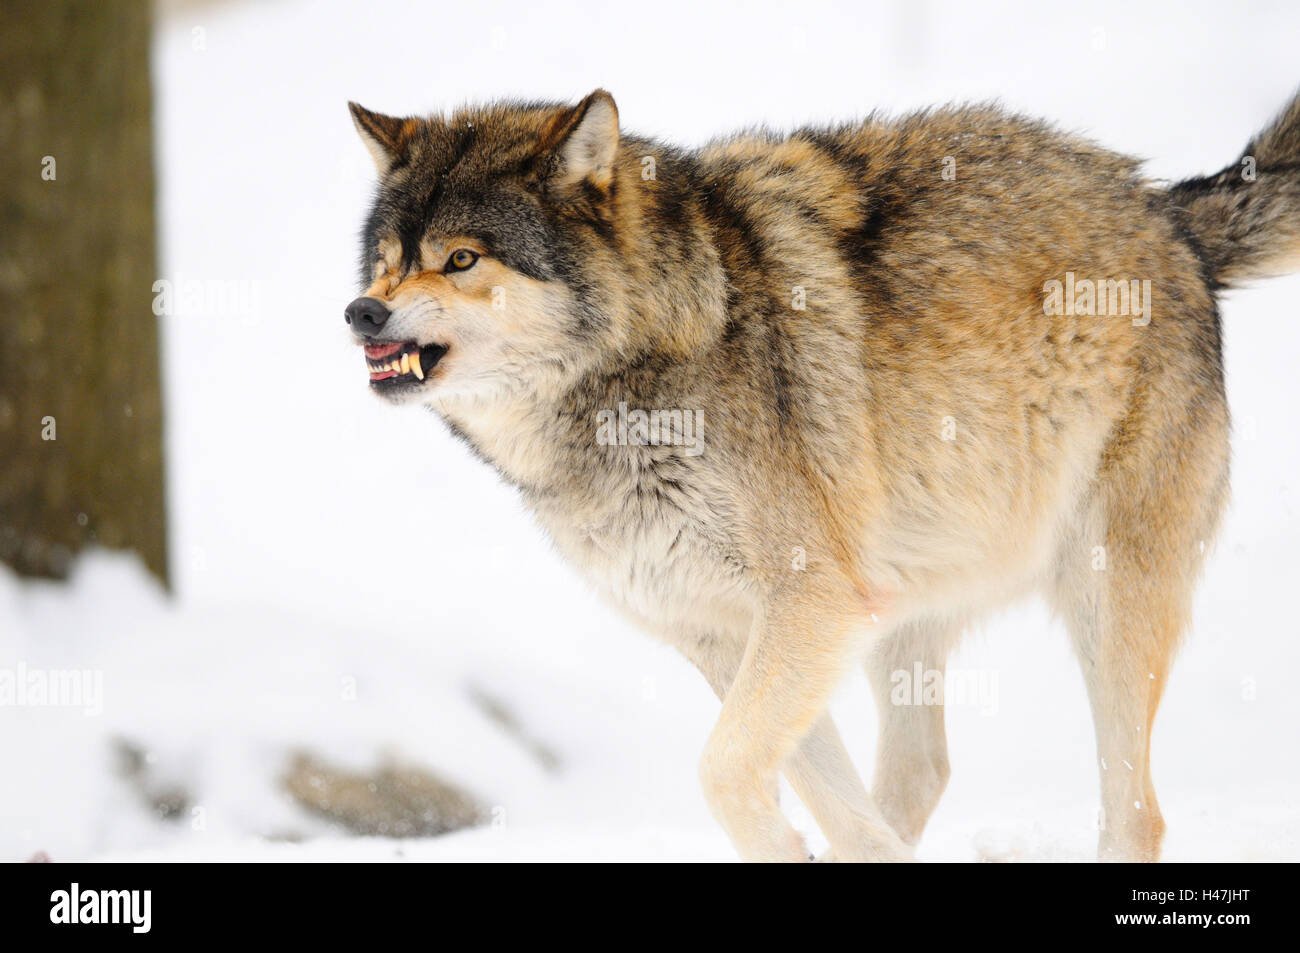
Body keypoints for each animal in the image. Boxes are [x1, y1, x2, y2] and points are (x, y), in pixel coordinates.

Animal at [344, 89, 1300, 862]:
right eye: (387, 260)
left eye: (461, 259)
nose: (361, 313)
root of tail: (1165, 208)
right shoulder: (729, 633)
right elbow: (819, 797)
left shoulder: (808, 603)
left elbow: (723, 768)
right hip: (899, 617)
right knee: (923, 771)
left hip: (1105, 604)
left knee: (1137, 811)